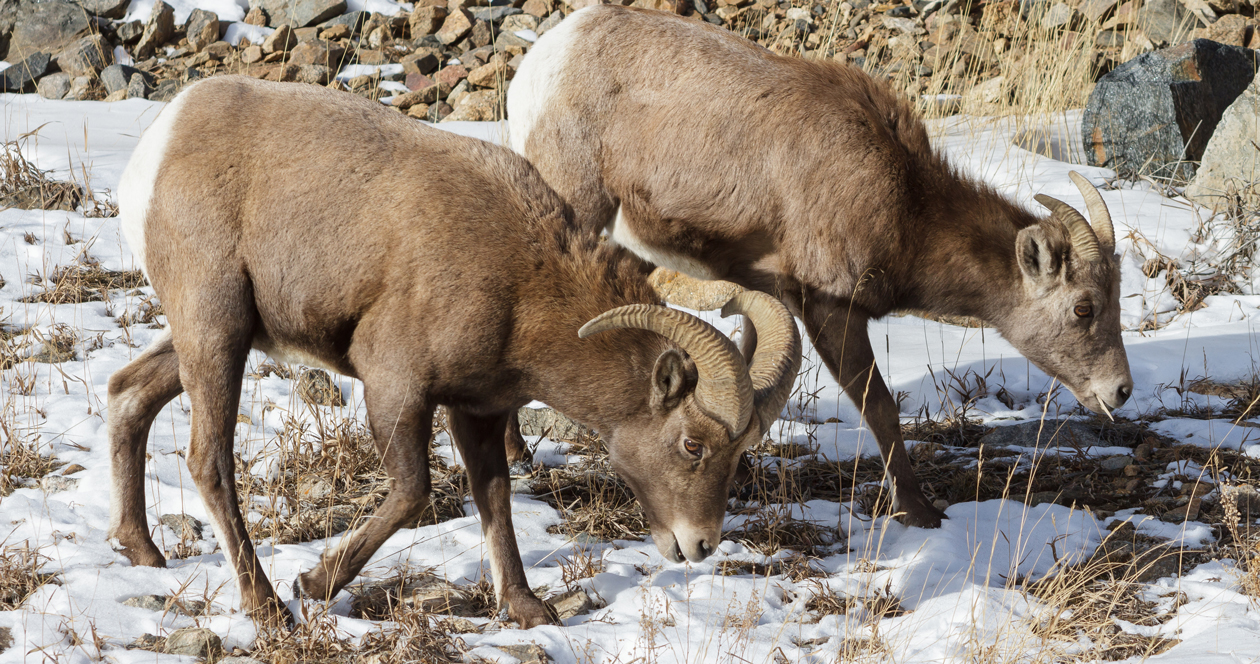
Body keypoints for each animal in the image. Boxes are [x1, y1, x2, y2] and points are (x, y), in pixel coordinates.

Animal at [108, 75, 801, 627]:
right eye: (693, 446)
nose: (701, 546)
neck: (522, 282)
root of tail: (159, 144)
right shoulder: (395, 386)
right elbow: (414, 492)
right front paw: (314, 583)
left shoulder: (480, 411)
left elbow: (495, 498)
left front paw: (528, 610)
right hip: (217, 331)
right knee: (209, 462)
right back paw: (267, 606)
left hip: (212, 336)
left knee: (128, 394)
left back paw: (142, 551)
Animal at [506, 5, 1132, 528]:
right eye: (1083, 308)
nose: (1120, 392)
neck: (903, 204)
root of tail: (542, 61)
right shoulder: (830, 307)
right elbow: (879, 406)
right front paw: (919, 513)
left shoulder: (764, 294)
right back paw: (517, 458)